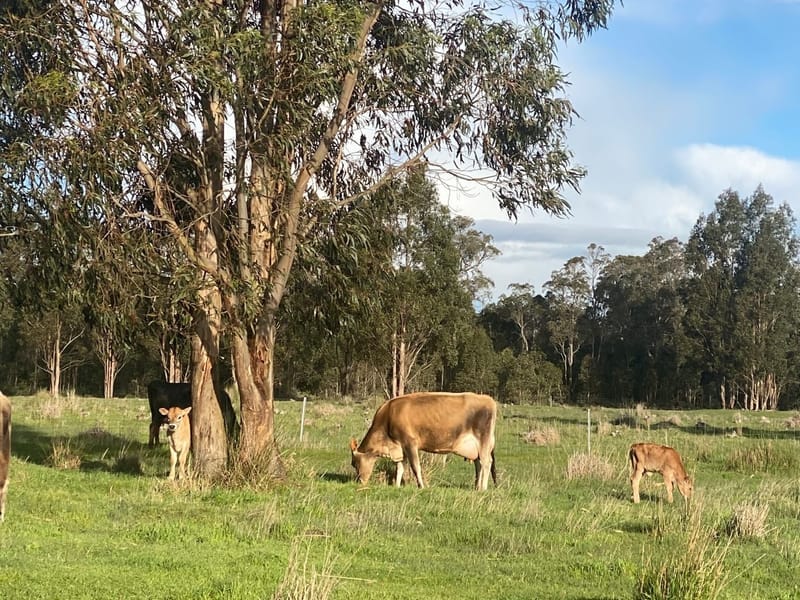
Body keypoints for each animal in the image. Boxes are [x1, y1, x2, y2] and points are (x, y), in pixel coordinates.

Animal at [350, 392, 498, 490]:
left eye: (354, 463)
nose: (359, 481)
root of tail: (488, 399)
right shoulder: (401, 447)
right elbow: (400, 468)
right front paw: (397, 486)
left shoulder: (410, 443)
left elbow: (416, 467)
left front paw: (421, 486)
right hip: (476, 447)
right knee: (478, 464)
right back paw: (476, 487)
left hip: (483, 440)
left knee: (486, 463)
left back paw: (483, 488)